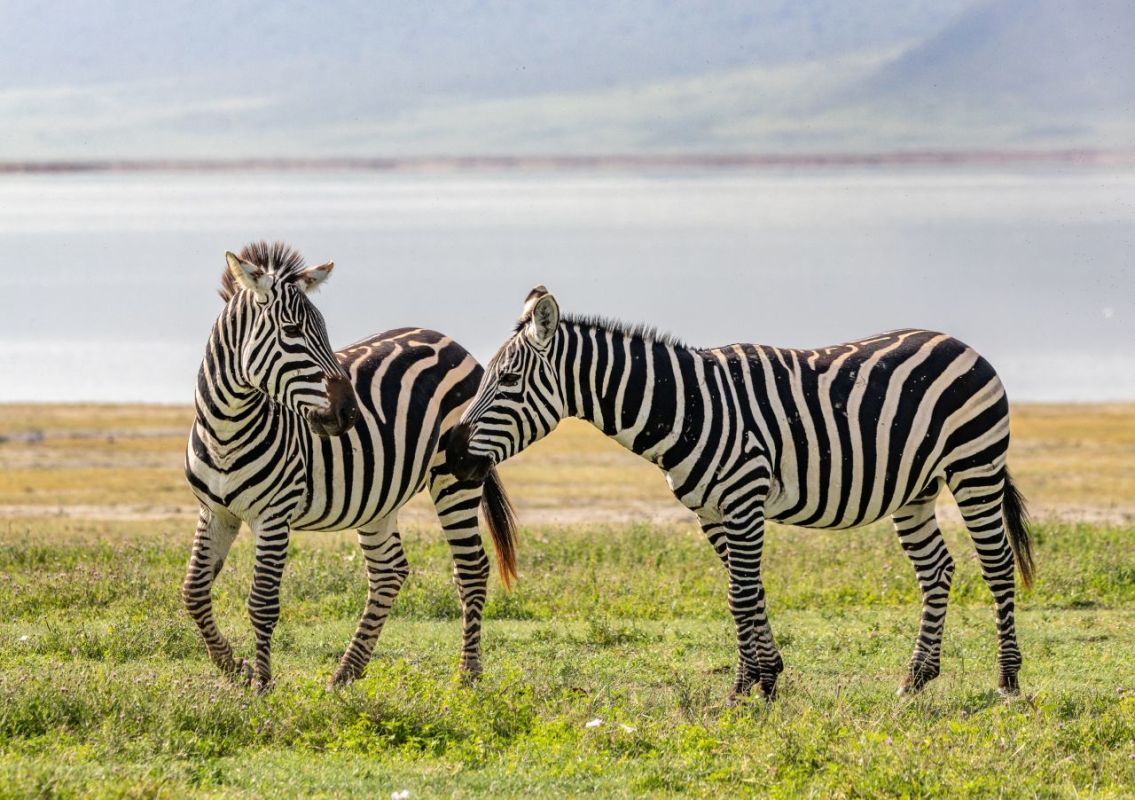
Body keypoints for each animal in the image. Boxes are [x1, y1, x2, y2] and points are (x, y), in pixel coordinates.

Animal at [182, 241, 517, 693]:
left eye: (324, 331)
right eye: (292, 332)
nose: (350, 414)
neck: (225, 431)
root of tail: (449, 340)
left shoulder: (274, 516)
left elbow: (263, 603)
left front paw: (263, 684)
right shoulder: (214, 512)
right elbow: (194, 592)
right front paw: (233, 666)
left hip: (454, 478)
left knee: (471, 568)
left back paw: (468, 675)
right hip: (378, 497)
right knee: (390, 572)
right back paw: (347, 671)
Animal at [449, 286, 1035, 702]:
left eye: (507, 381)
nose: (453, 455)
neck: (684, 406)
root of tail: (961, 345)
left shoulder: (744, 498)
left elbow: (741, 594)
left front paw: (747, 686)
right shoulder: (711, 511)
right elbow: (747, 593)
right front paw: (763, 679)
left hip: (975, 466)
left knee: (998, 565)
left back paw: (1007, 680)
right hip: (914, 491)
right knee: (936, 569)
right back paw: (916, 676)